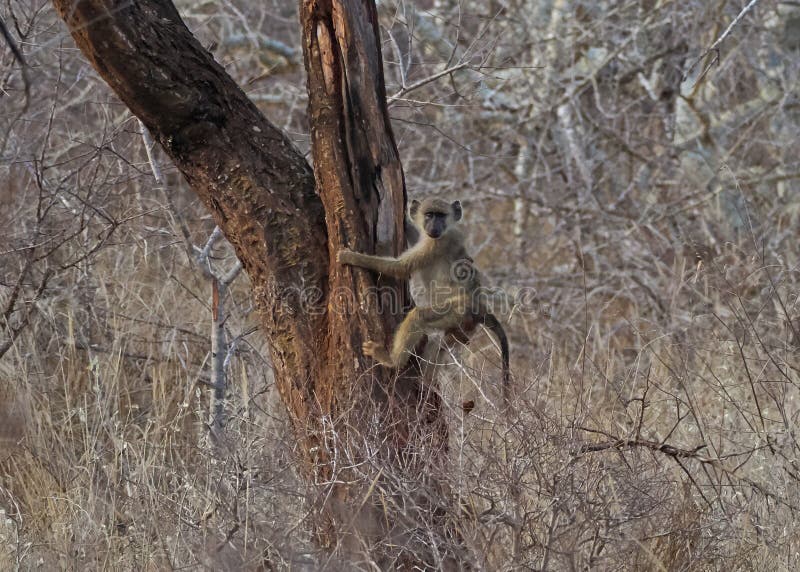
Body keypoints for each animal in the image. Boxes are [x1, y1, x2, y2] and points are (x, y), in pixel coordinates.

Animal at [338, 197, 510, 394]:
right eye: (429, 215)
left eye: (441, 215)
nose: (434, 227)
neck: (444, 233)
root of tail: (479, 307)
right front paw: (408, 221)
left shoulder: (433, 245)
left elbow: (401, 267)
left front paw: (351, 257)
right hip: (460, 325)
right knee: (440, 343)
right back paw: (426, 382)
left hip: (456, 311)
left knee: (418, 317)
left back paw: (392, 361)